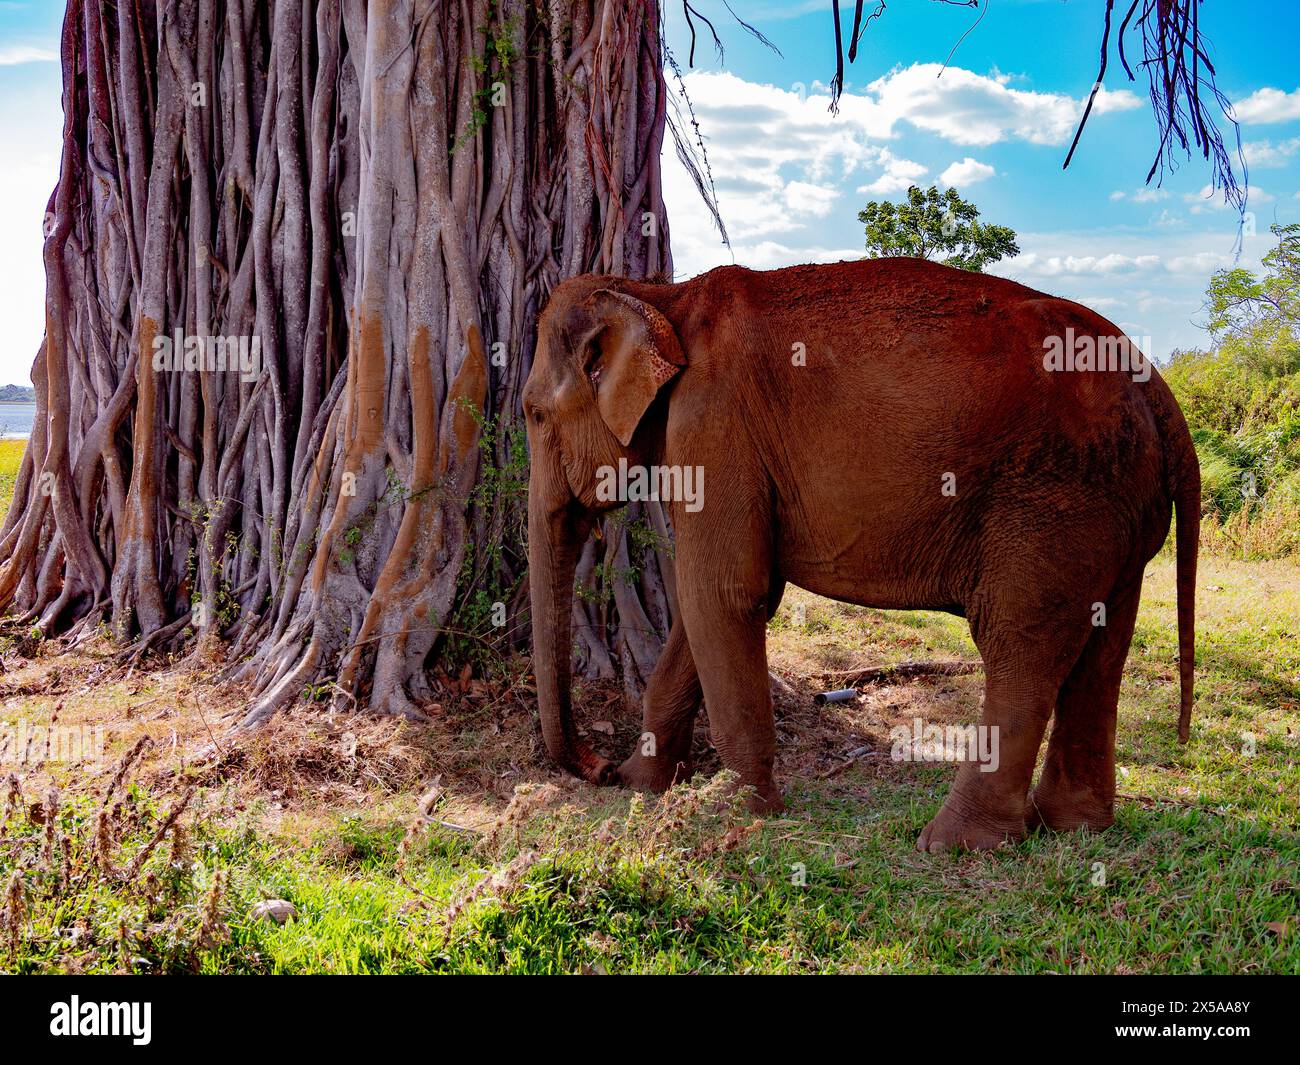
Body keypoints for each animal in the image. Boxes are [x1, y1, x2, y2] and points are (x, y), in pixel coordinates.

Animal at [523, 257, 1199, 852]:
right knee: (1102, 646)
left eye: (532, 415)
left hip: (1053, 501)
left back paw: (955, 844)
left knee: (1020, 643)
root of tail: (1156, 388)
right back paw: (1076, 829)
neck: (661, 297)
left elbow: (725, 592)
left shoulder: (713, 425)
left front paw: (739, 814)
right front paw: (643, 788)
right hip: (1115, 506)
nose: (595, 767)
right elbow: (720, 599)